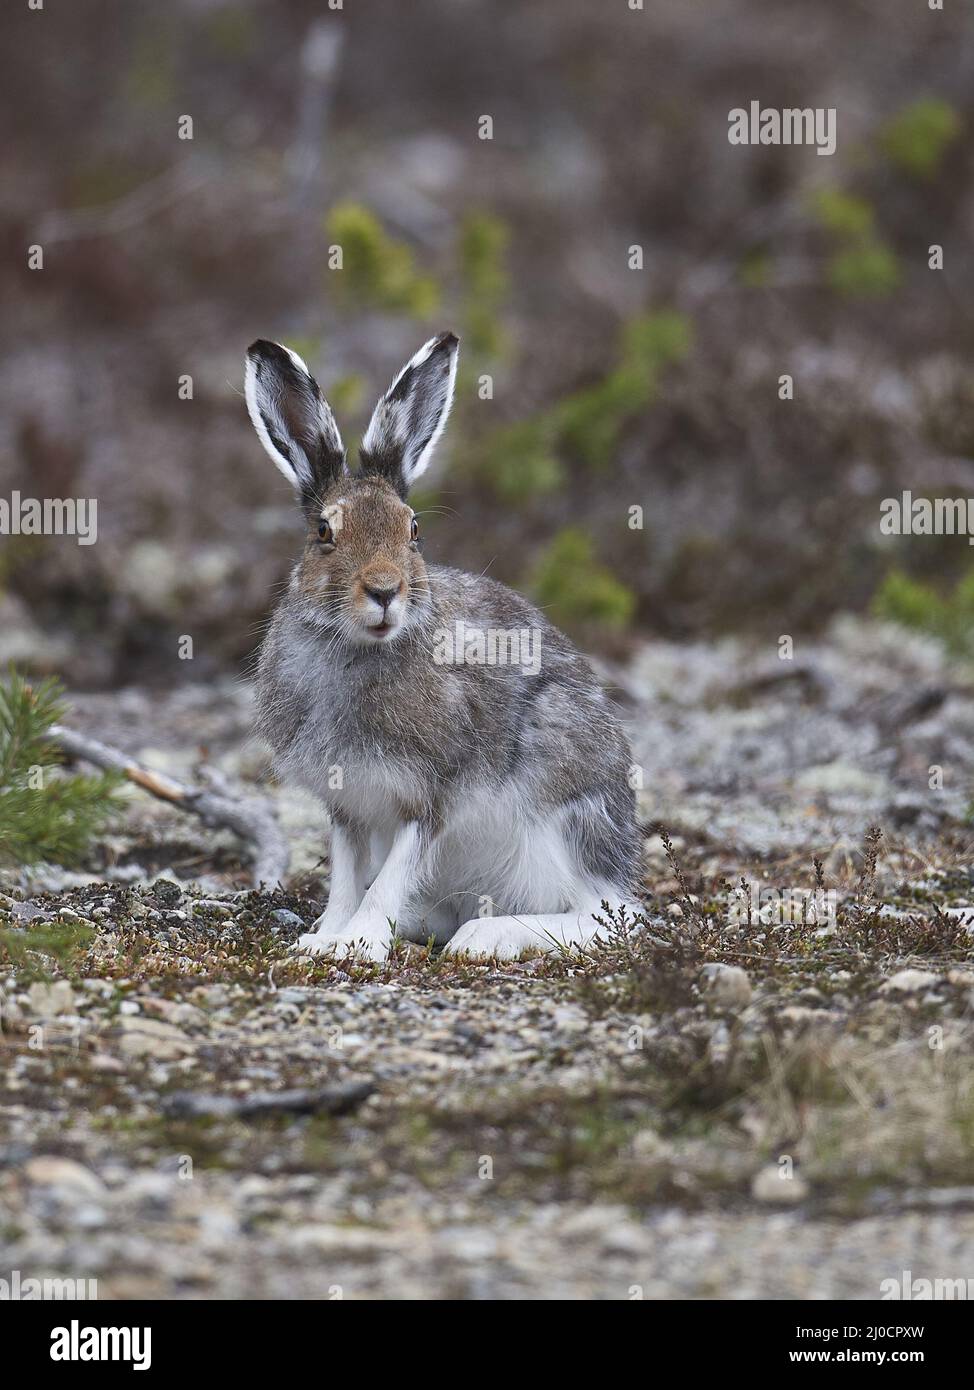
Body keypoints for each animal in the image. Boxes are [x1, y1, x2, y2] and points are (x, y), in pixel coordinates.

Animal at [244, 331, 641, 959]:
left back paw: (485, 936)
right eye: (324, 532)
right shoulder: (348, 807)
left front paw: (358, 944)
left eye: (413, 529)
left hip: (560, 805)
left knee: (610, 916)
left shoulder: (430, 797)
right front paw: (324, 938)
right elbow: (346, 876)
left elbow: (390, 878)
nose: (385, 591)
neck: (357, 650)